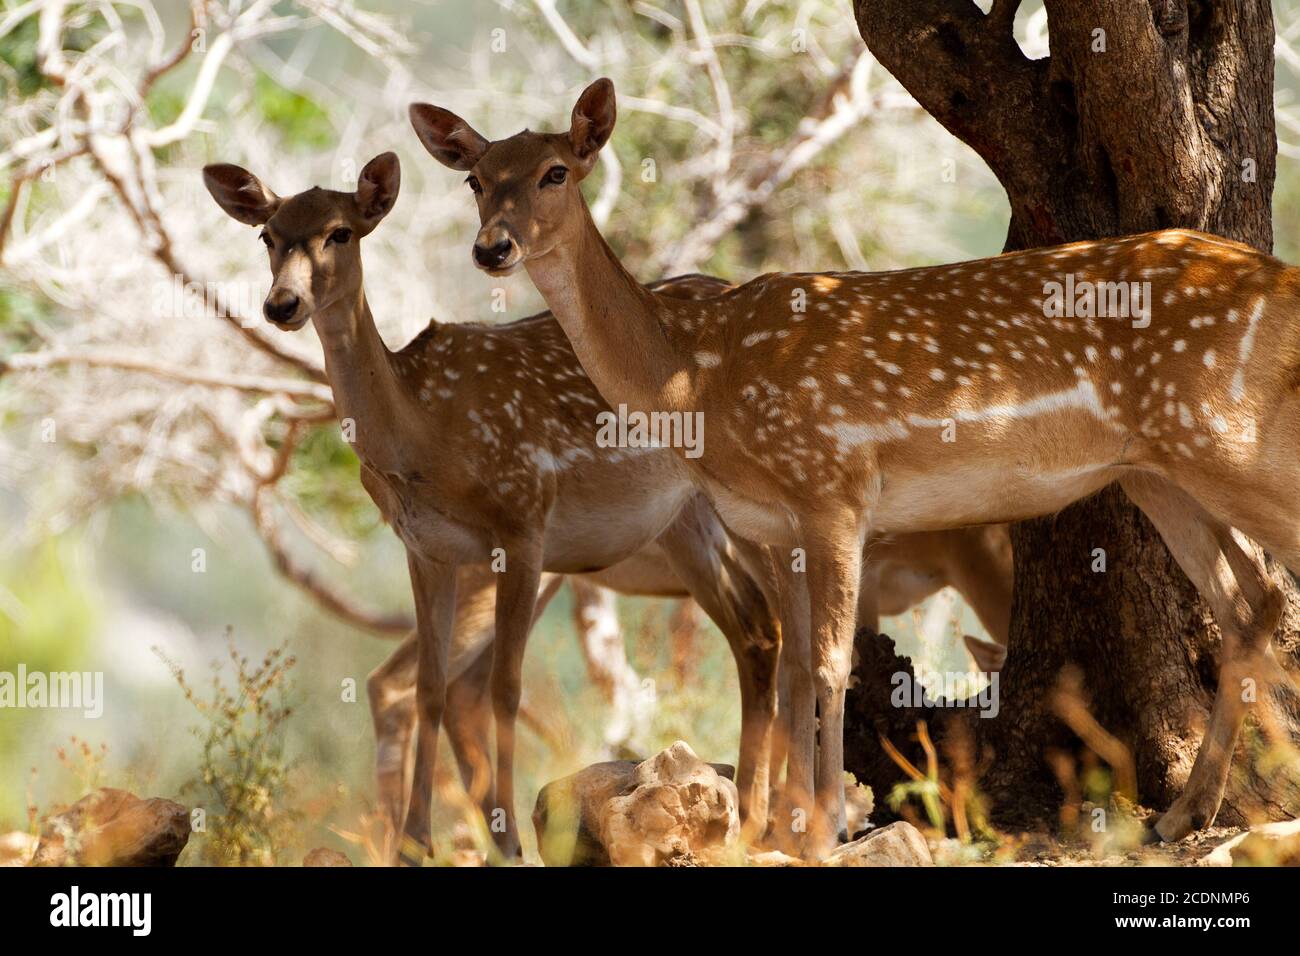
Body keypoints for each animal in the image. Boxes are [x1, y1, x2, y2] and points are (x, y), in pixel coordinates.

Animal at [410, 77, 1300, 858]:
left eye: (556, 170)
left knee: (1267, 579)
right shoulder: (770, 522)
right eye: (475, 179)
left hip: (1227, 441)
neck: (696, 380)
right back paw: (1180, 814)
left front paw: (825, 828)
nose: (492, 247)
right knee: (1250, 598)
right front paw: (784, 827)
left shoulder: (832, 483)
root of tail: (1282, 281)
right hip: (1158, 470)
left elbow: (833, 662)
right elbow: (799, 664)